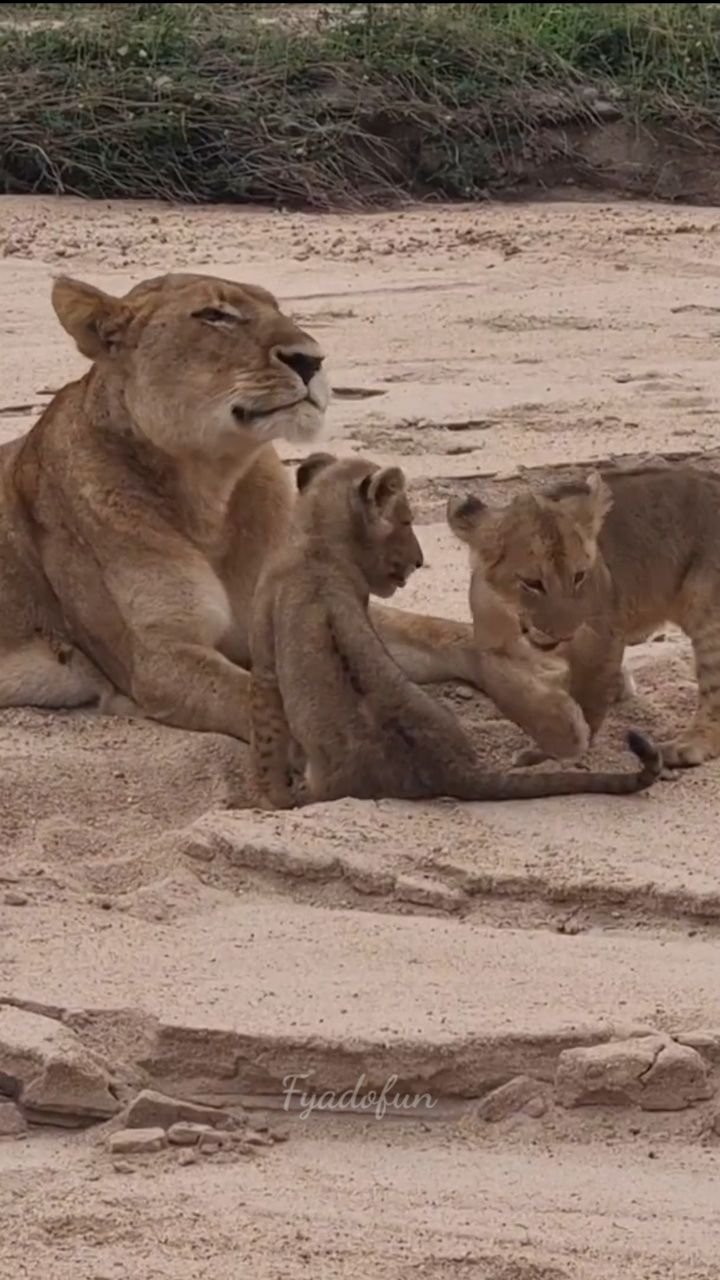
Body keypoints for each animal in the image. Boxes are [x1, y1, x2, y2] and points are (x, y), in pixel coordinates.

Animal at [0, 269, 594, 756]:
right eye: (214, 316)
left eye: (276, 307)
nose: (312, 358)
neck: (210, 493)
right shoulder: (158, 657)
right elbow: (257, 700)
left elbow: (448, 633)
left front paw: (550, 703)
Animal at [248, 452, 662, 806]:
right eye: (405, 521)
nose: (418, 561)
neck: (318, 541)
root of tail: (452, 769)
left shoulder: (265, 662)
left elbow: (267, 735)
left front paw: (270, 795)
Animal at [447, 462, 720, 769]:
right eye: (532, 583)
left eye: (578, 577)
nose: (567, 633)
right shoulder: (494, 651)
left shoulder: (601, 638)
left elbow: (586, 700)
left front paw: (560, 746)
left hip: (707, 611)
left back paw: (687, 746)